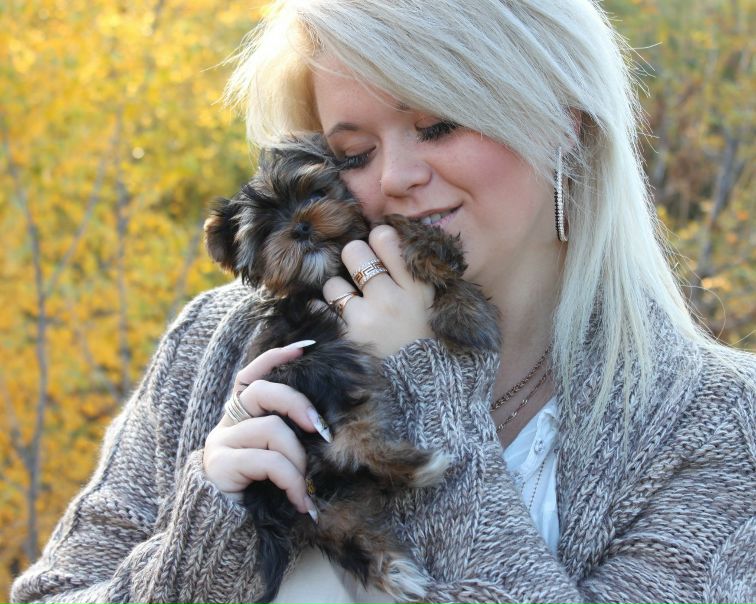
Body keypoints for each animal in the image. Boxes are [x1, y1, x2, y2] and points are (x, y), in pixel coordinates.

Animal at [204, 133, 500, 603]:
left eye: (314, 194)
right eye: (266, 230)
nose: (300, 227)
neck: (329, 270)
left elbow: (397, 233)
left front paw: (465, 307)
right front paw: (463, 299)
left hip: (325, 506)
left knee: (346, 530)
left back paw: (397, 569)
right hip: (327, 375)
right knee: (350, 442)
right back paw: (420, 465)